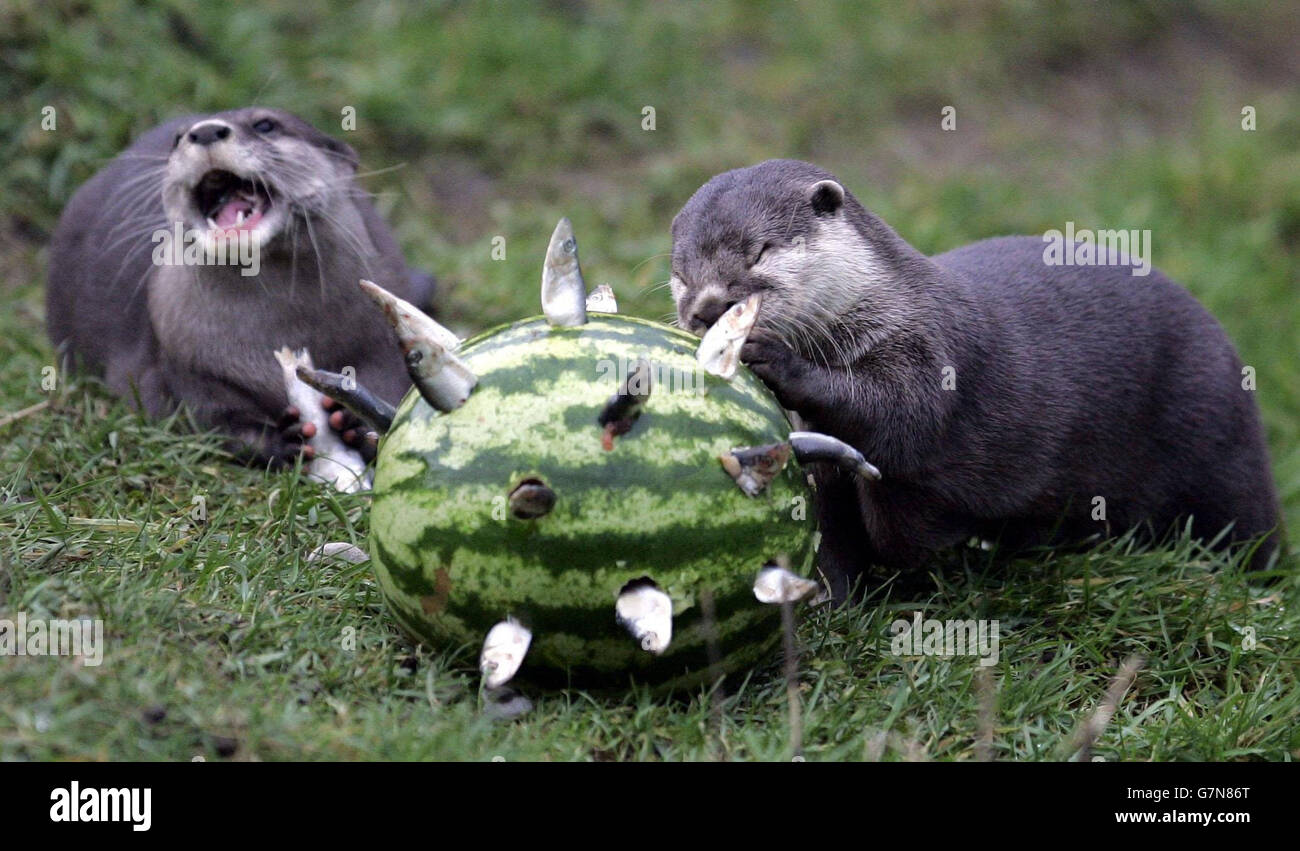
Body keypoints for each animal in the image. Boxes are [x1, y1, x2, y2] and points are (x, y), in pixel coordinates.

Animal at [46, 107, 434, 465]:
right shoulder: (183, 364)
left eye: (265, 124)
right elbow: (206, 420)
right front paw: (279, 440)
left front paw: (356, 422)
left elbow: (391, 386)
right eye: (178, 139)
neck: (277, 334)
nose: (204, 132)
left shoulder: (379, 342)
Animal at [670, 159, 1283, 599]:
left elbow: (901, 417)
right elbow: (834, 544)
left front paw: (775, 358)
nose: (706, 308)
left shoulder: (929, 350)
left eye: (759, 250)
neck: (881, 306)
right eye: (680, 273)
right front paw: (829, 604)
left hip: (1220, 446)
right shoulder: (826, 482)